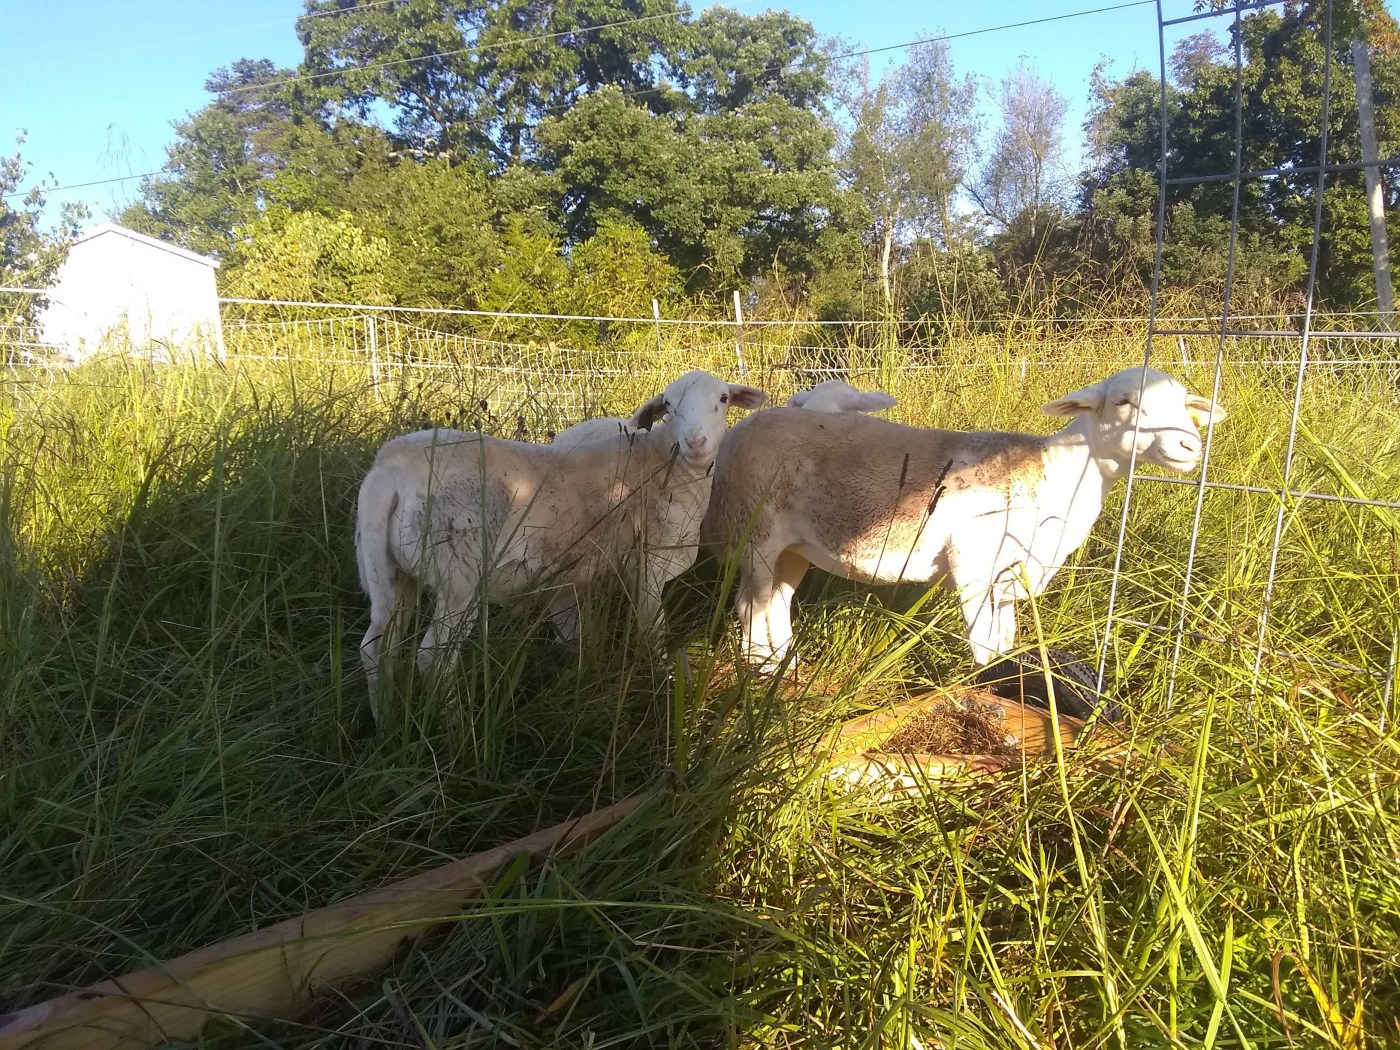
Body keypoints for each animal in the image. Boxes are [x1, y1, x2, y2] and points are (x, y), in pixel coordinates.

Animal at [357, 370, 767, 712]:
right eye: (668, 404)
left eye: (723, 399)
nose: (695, 442)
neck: (667, 467)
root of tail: (389, 471)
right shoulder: (648, 565)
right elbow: (652, 634)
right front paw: (666, 690)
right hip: (459, 574)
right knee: (433, 658)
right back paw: (453, 727)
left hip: (394, 573)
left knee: (378, 647)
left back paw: (385, 720)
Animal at [700, 365, 1226, 711]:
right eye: (1123, 402)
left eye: (1186, 406)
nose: (1189, 445)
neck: (1059, 473)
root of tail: (739, 432)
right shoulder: (974, 564)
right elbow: (985, 653)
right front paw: (994, 689)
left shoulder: (1010, 579)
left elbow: (1007, 644)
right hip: (754, 532)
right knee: (751, 606)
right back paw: (760, 672)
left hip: (794, 546)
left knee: (776, 601)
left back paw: (783, 668)